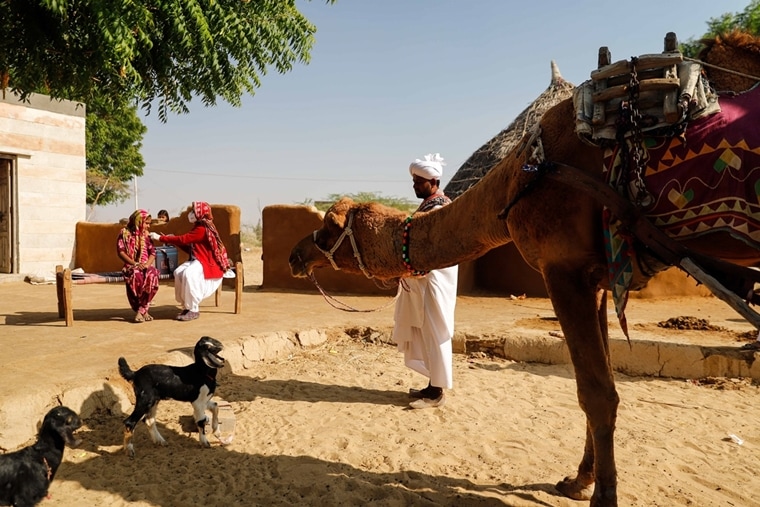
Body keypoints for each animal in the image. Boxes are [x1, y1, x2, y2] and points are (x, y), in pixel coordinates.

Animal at [288, 32, 760, 507]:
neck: (521, 174)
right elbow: (603, 379)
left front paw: (601, 494)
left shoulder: (562, 268)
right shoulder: (595, 275)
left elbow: (596, 392)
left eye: (329, 226)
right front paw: (578, 480)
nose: (295, 255)